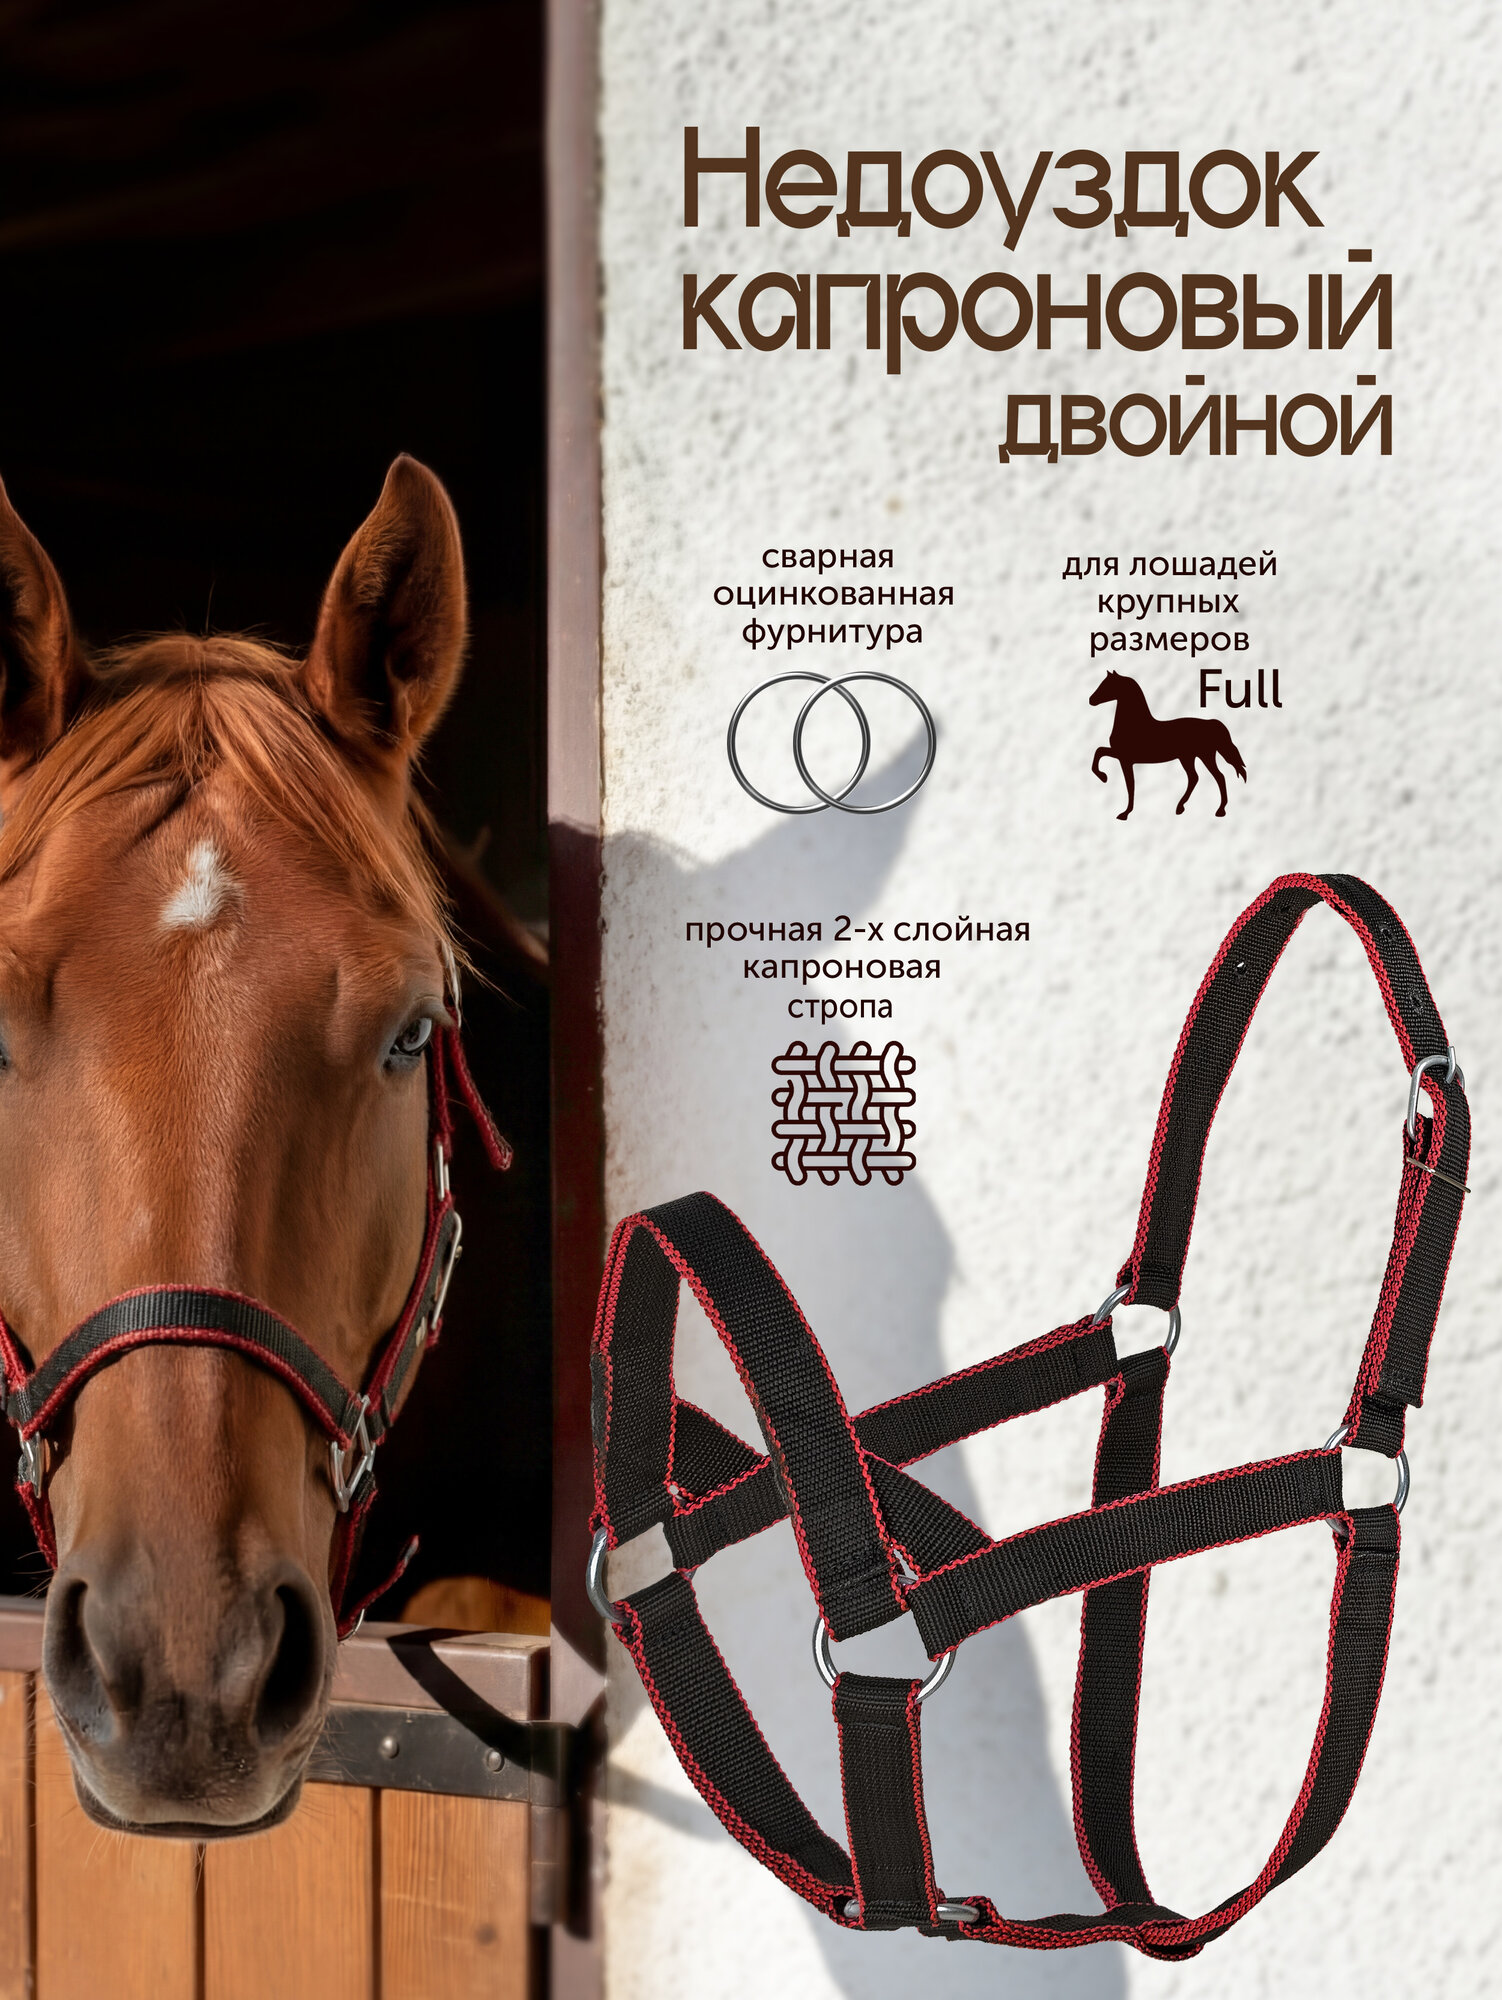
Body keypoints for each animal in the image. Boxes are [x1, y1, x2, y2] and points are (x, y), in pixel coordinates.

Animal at [1088, 670, 1247, 819]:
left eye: (1107, 685)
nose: (1091, 700)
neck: (1134, 724)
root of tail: (1211, 723)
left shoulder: (1125, 759)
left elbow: (1130, 786)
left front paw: (1124, 813)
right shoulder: (1120, 755)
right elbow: (1099, 751)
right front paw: (1104, 777)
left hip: (1205, 756)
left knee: (1219, 777)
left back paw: (1220, 811)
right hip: (1188, 758)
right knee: (1194, 778)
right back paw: (1180, 807)